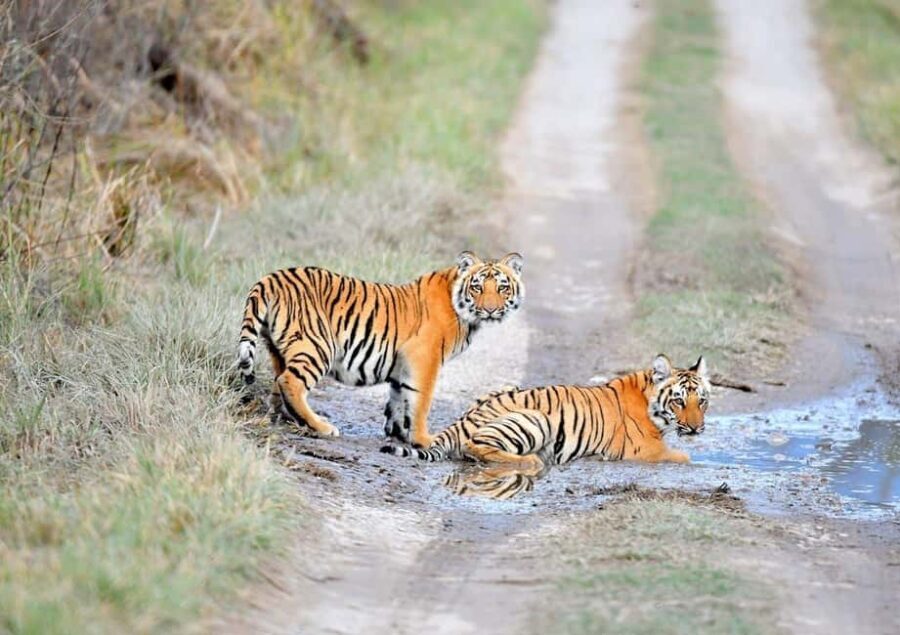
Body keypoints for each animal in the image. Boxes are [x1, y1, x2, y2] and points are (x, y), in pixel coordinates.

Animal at [237, 251, 524, 446]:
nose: (490, 309)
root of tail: (271, 278)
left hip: (280, 349)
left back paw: (285, 417)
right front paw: (423, 439)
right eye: (477, 287)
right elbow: (421, 401)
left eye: (502, 287)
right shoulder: (424, 359)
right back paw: (321, 426)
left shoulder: (403, 364)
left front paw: (398, 433)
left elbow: (399, 397)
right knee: (290, 382)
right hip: (318, 346)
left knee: (279, 382)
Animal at [381, 354, 710, 468]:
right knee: (474, 447)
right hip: (536, 418)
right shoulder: (646, 449)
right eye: (679, 401)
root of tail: (461, 421)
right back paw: (531, 461)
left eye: (702, 401)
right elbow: (682, 456)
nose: (696, 428)